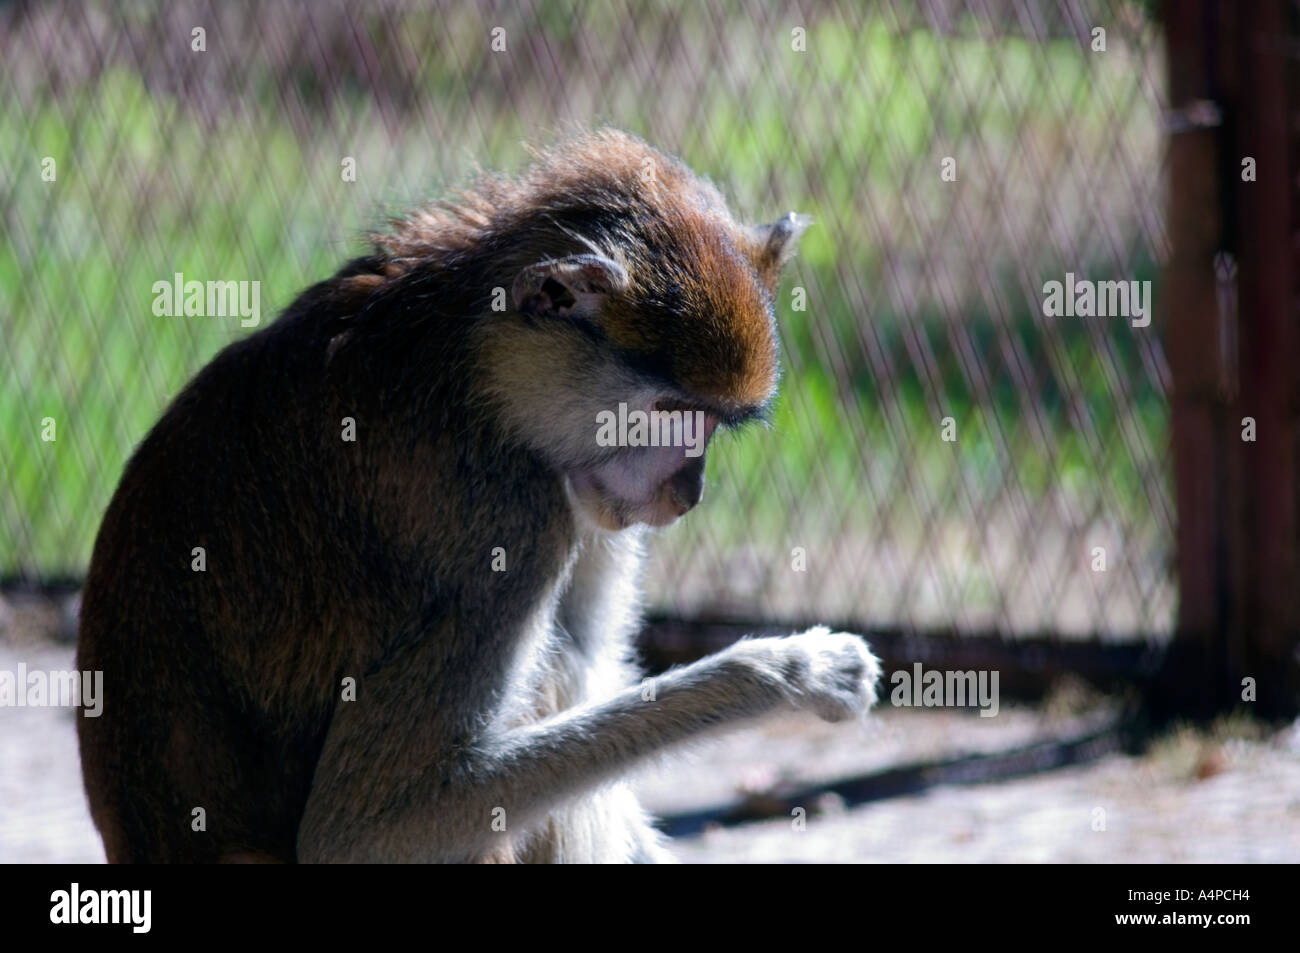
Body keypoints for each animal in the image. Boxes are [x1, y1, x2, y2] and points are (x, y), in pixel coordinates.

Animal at [75, 129, 881, 863]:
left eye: (710, 422)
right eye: (667, 413)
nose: (688, 491)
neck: (475, 366)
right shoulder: (513, 514)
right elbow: (360, 834)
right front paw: (789, 673)